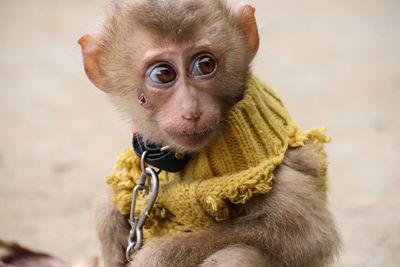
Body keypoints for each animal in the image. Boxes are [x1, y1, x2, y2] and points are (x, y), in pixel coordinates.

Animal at [79, 0, 340, 267]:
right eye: (163, 74)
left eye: (205, 64)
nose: (191, 110)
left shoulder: (271, 166)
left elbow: (307, 237)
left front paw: (155, 257)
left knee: (236, 255)